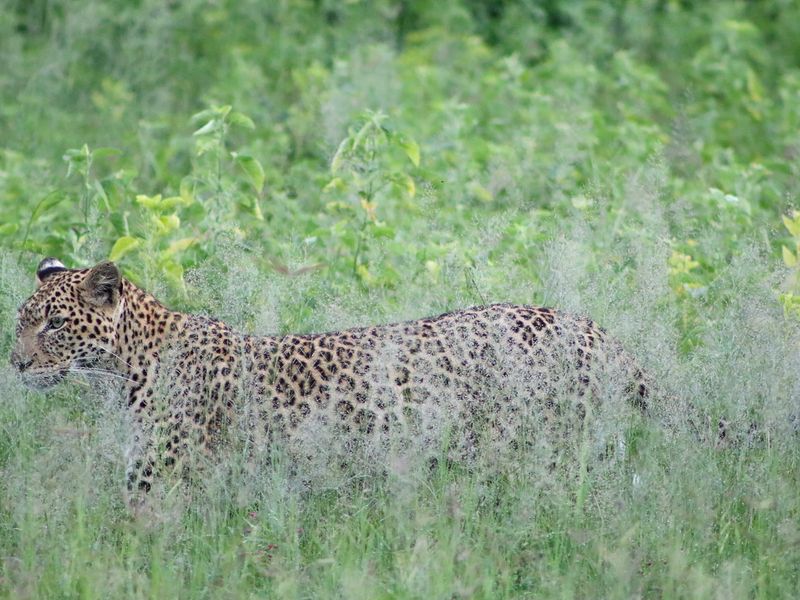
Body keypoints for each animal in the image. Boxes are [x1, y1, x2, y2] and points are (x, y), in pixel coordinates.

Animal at [11, 257, 666, 501]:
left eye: (53, 325)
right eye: (21, 321)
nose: (15, 364)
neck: (124, 368)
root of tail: (587, 325)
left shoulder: (160, 474)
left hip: (542, 445)